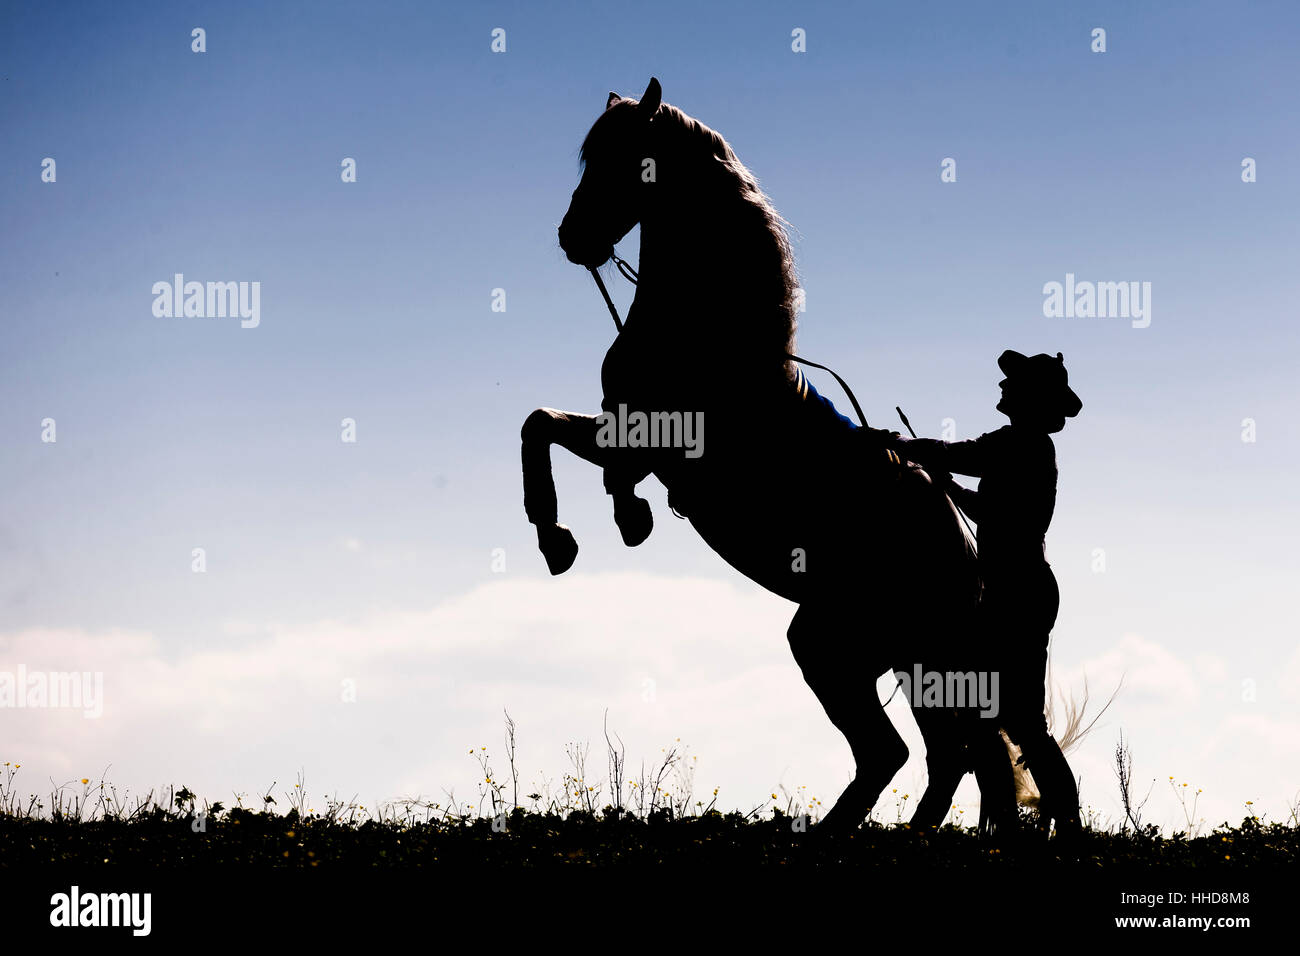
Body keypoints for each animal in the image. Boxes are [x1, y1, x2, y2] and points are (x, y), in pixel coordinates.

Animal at [522, 77, 998, 832]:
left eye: (628, 160)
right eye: (587, 157)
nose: (574, 238)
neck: (711, 336)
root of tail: (968, 549)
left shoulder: (644, 436)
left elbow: (542, 428)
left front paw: (560, 535)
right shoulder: (625, 433)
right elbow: (550, 432)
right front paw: (620, 521)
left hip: (841, 645)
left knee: (899, 753)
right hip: (902, 658)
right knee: (943, 757)